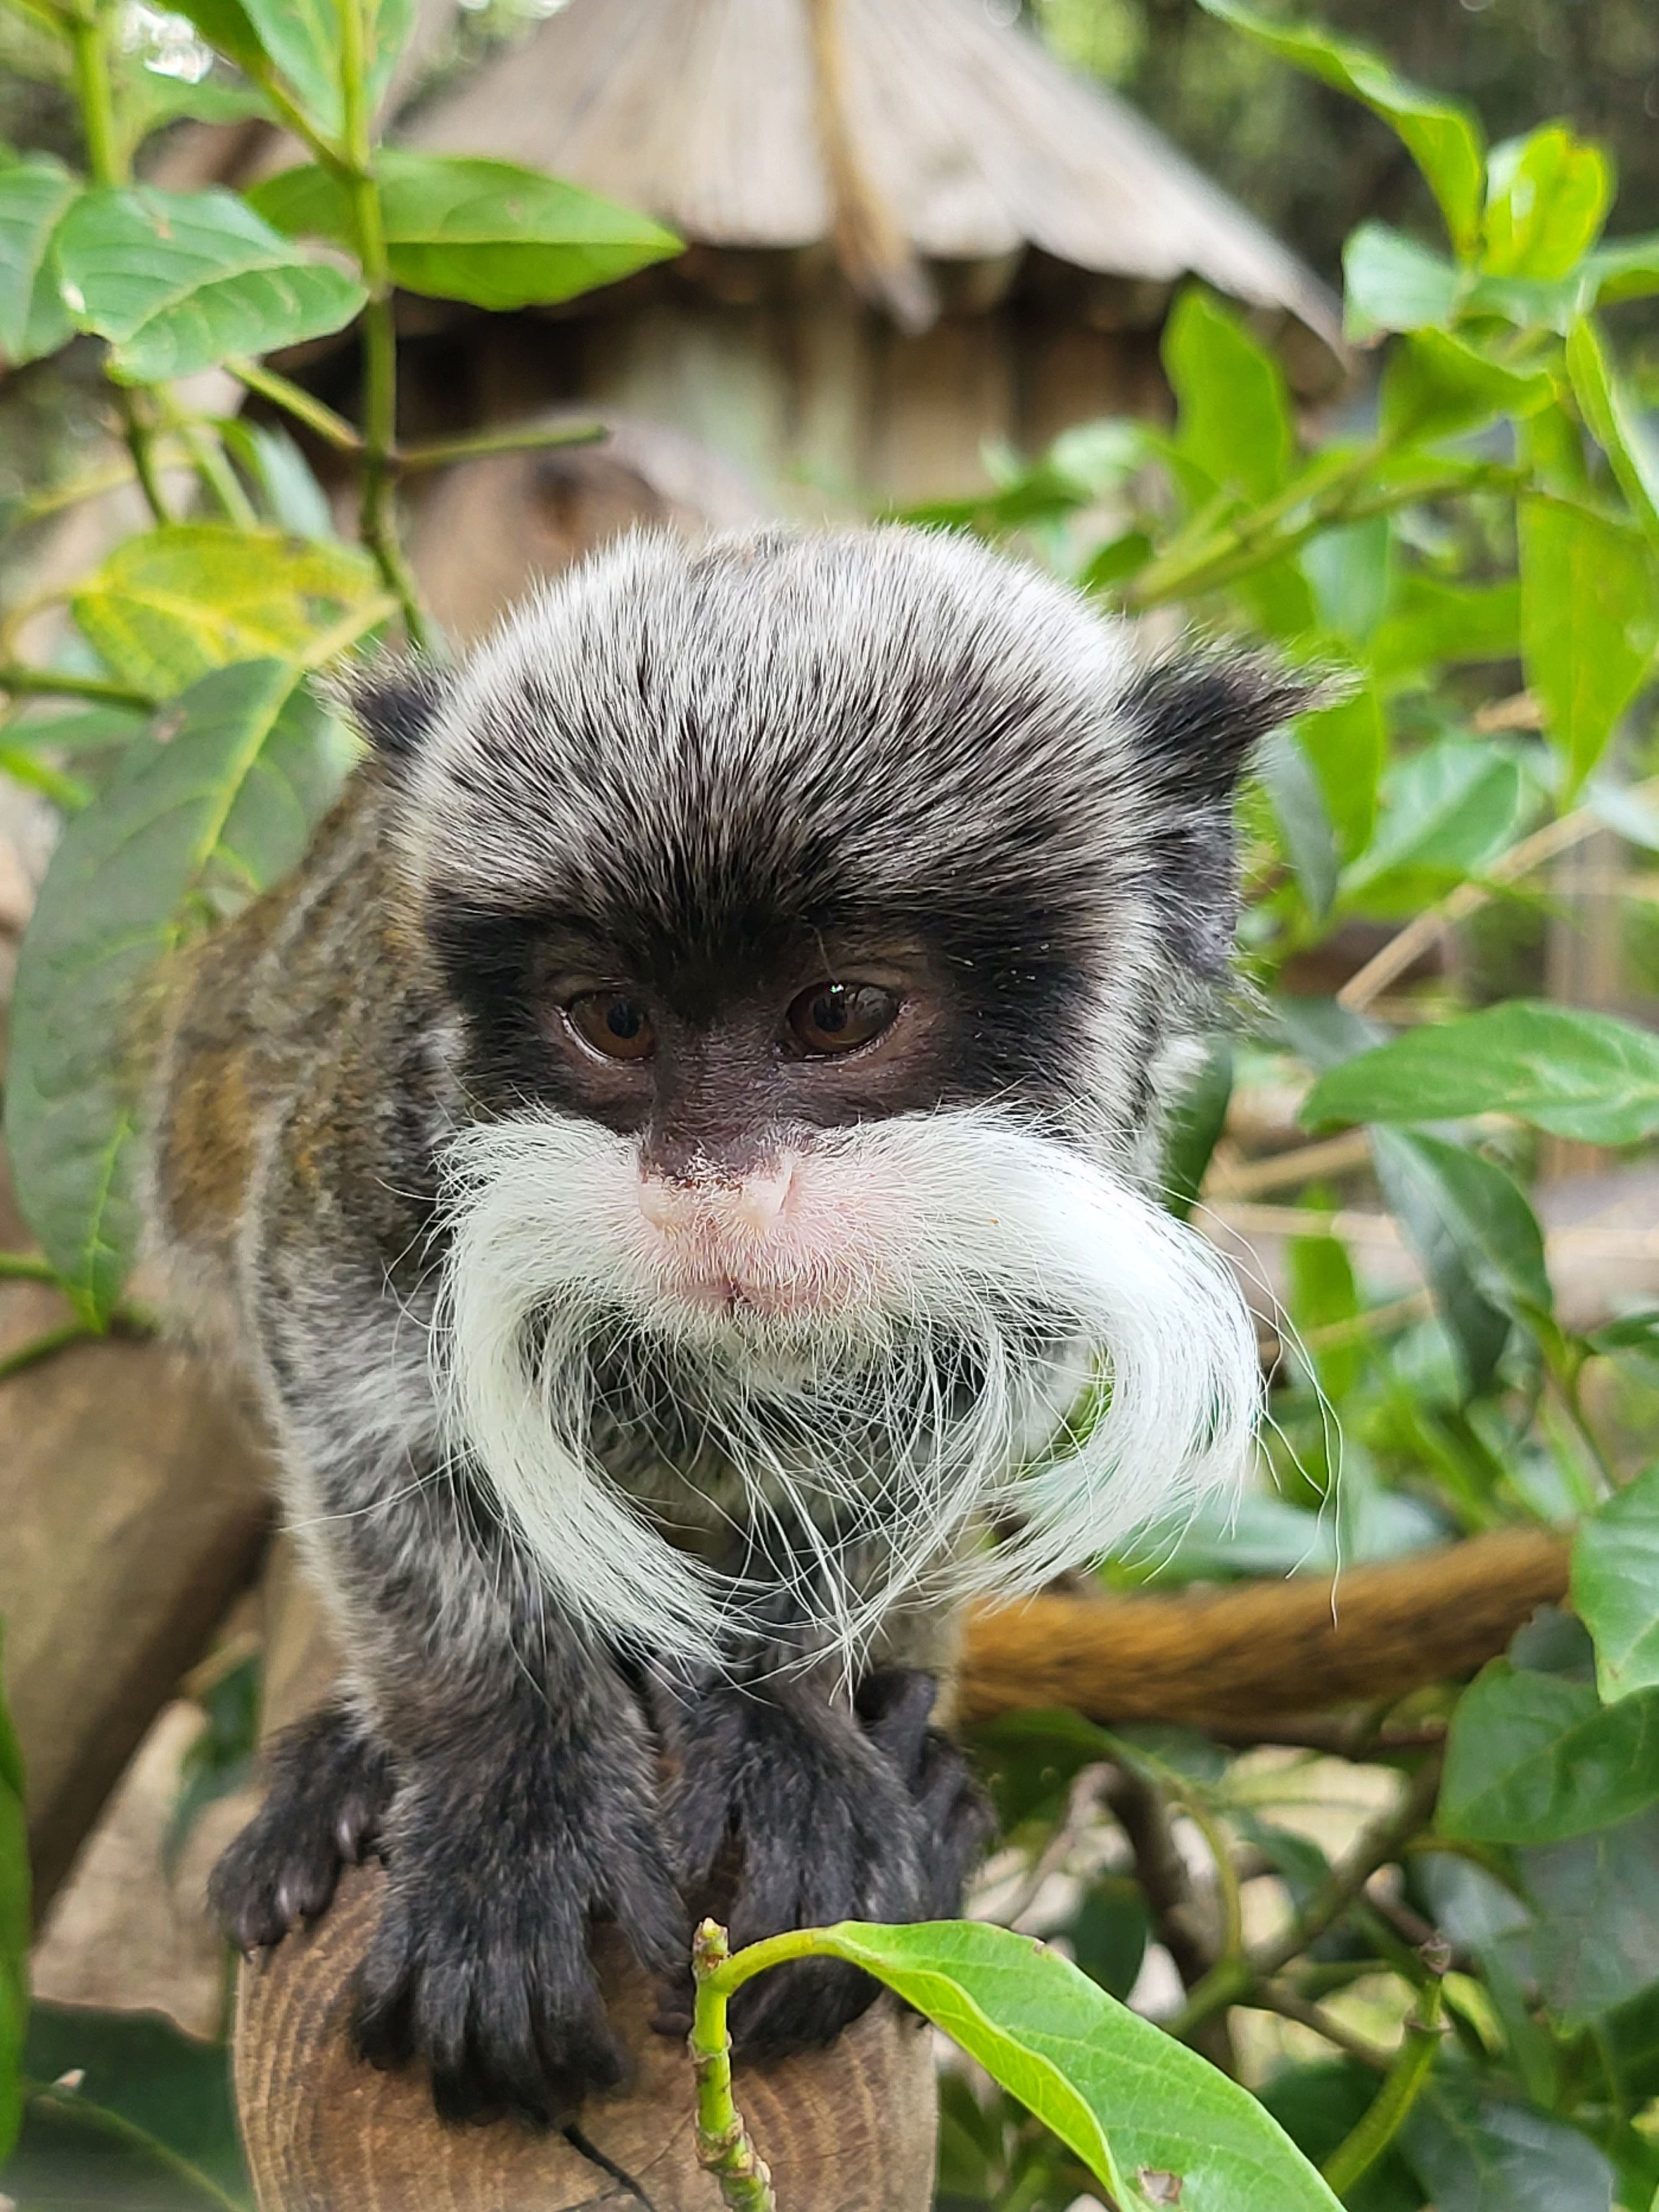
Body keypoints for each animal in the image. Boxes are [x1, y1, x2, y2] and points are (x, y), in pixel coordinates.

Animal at [145, 524, 1312, 2127]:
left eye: (835, 1012)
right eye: (615, 1020)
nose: (712, 1191)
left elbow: (915, 1468)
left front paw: (787, 1723)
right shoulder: (378, 1143)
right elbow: (359, 1388)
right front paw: (510, 1792)